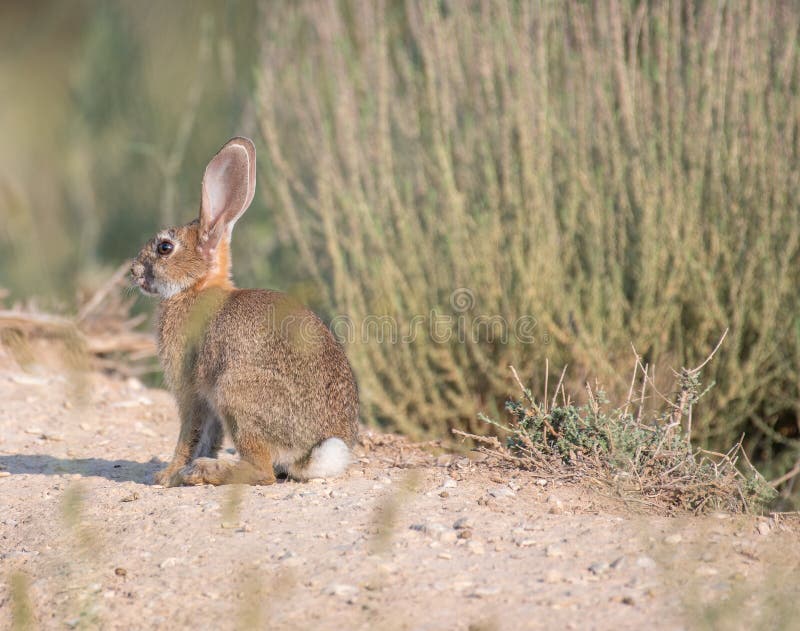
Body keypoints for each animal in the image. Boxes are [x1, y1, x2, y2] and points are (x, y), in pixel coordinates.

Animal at [130, 137, 359, 487]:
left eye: (164, 248)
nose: (134, 271)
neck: (194, 288)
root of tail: (314, 453)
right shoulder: (206, 401)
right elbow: (208, 437)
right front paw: (174, 473)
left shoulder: (192, 391)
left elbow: (188, 436)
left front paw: (167, 475)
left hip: (236, 392)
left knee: (262, 471)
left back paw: (205, 471)